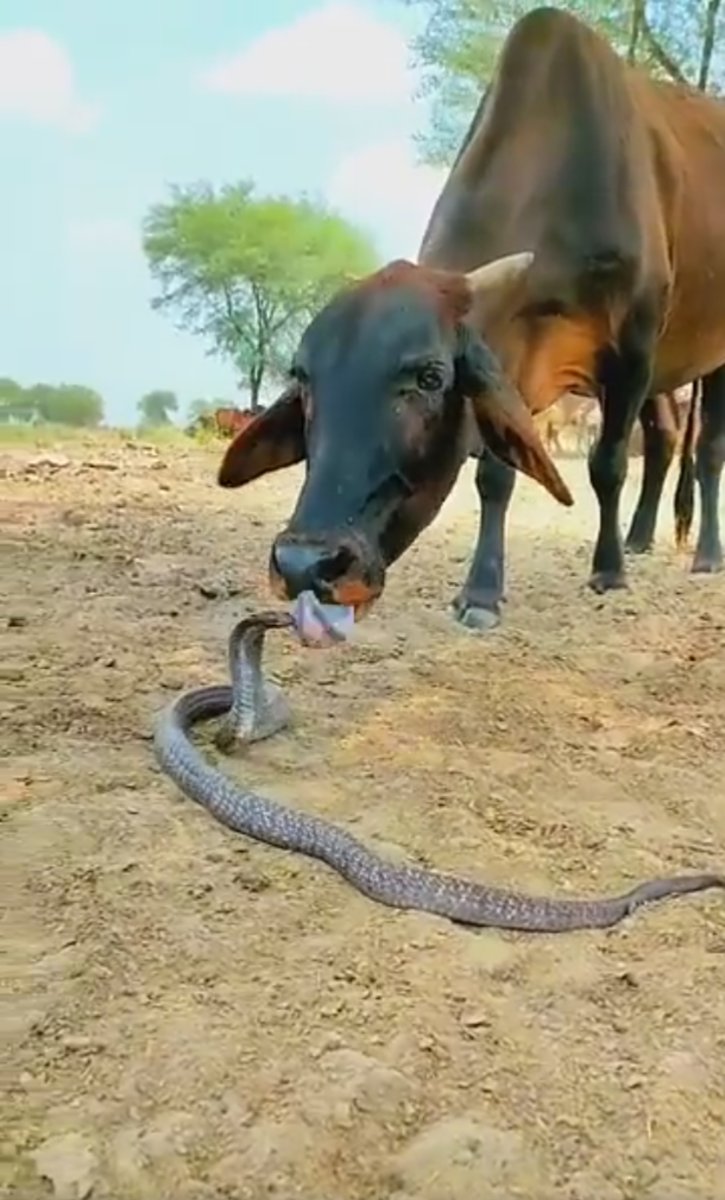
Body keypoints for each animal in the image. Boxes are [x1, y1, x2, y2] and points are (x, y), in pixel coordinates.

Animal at [216, 7, 725, 631]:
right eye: (304, 379)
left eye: (430, 376)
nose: (304, 563)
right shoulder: (516, 357)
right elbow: (495, 476)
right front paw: (481, 591)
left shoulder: (633, 349)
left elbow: (606, 464)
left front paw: (607, 572)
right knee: (664, 438)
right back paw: (640, 538)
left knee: (706, 450)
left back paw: (705, 554)